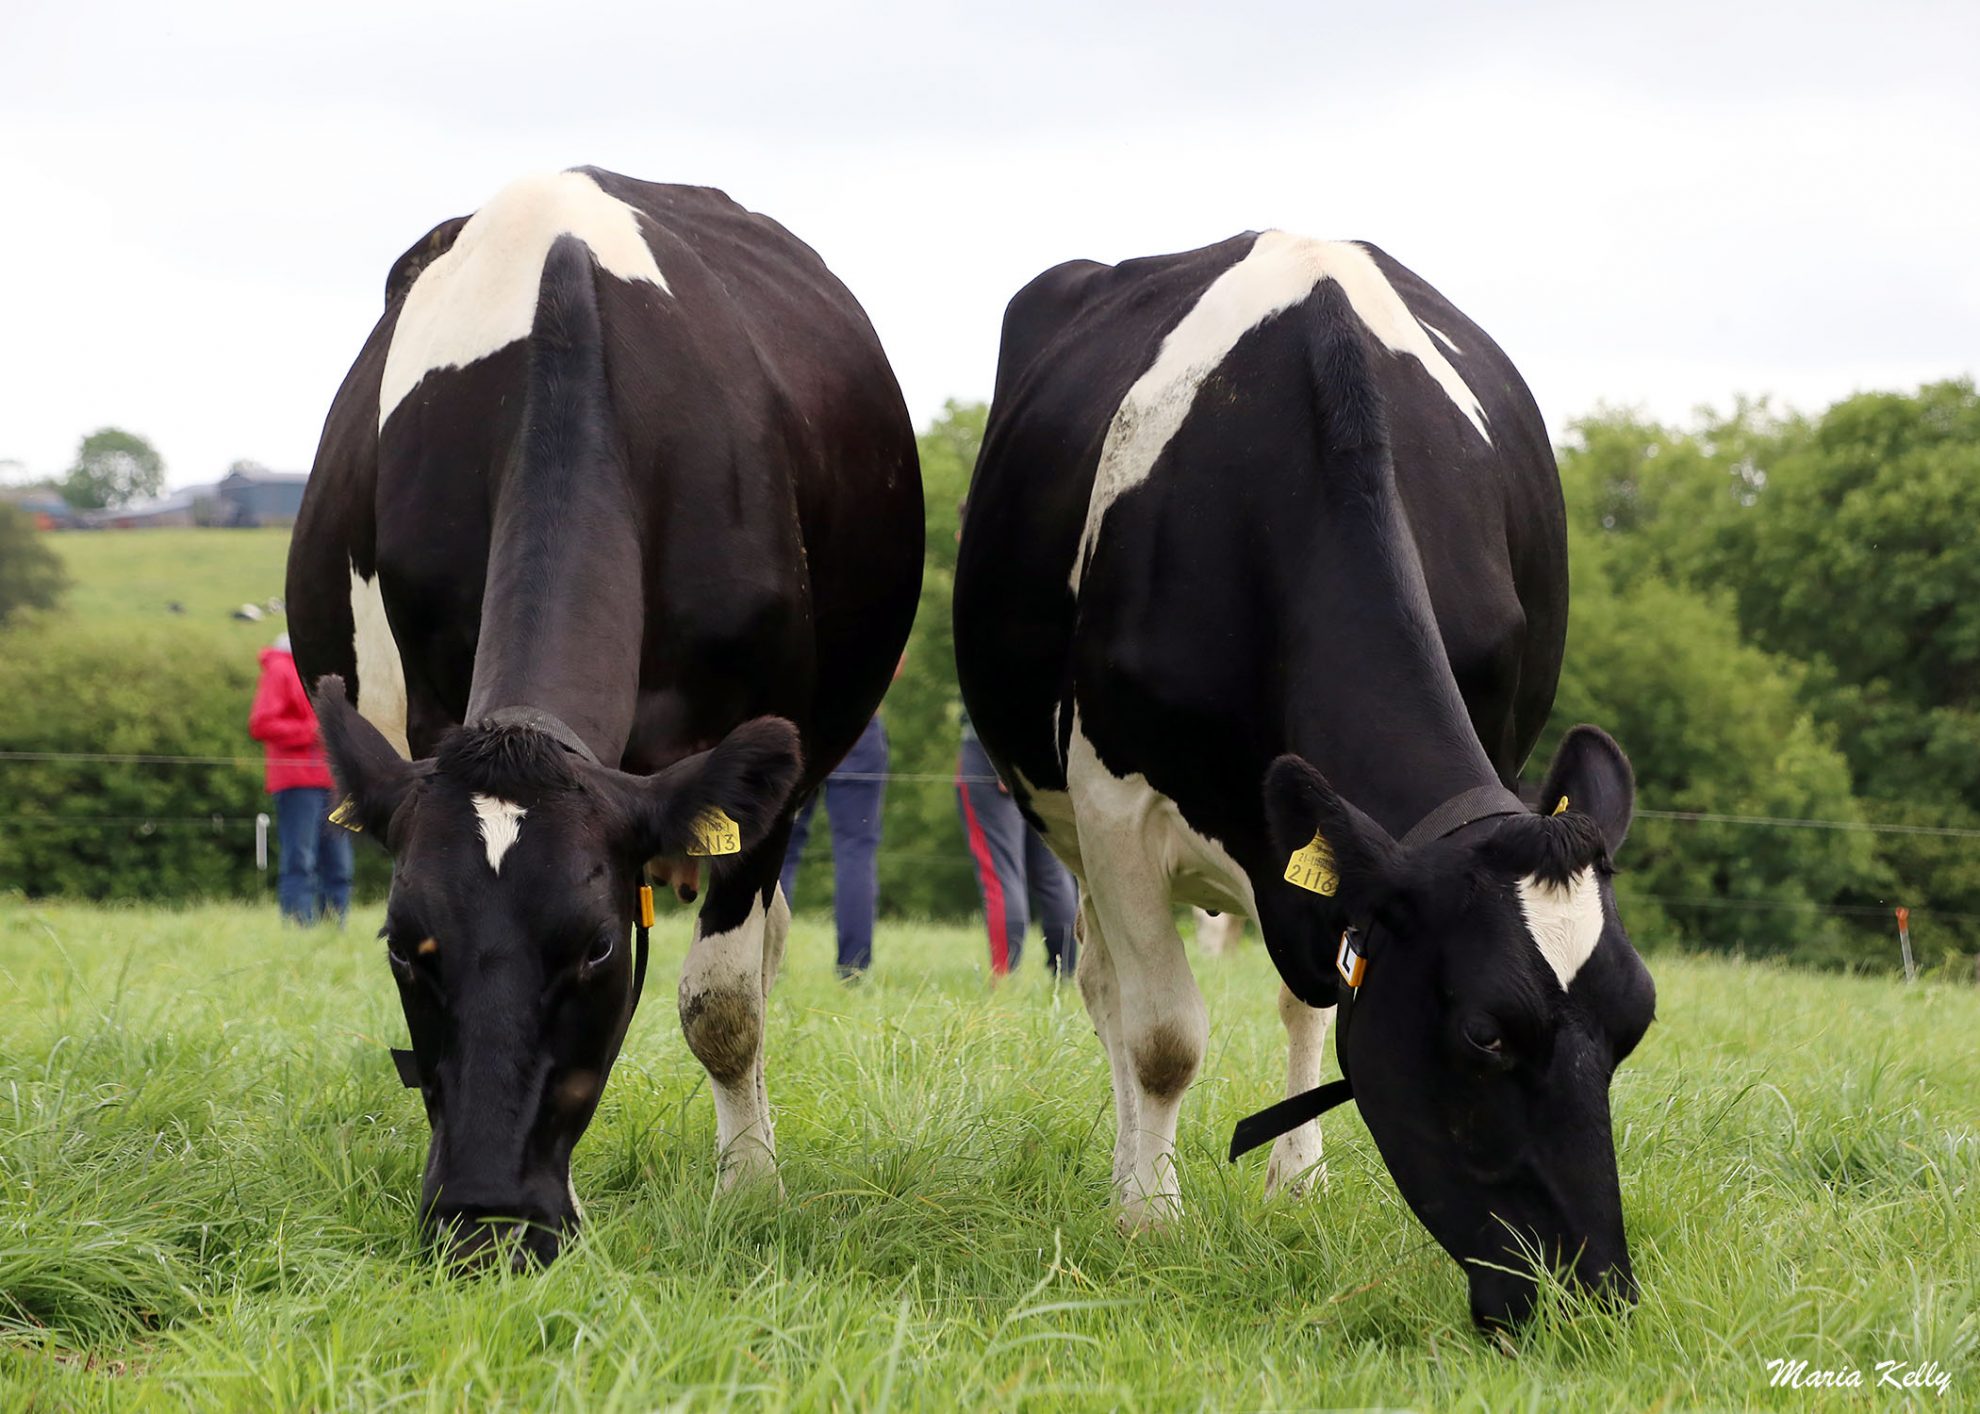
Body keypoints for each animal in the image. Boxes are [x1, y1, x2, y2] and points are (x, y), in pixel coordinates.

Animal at [287, 168, 923, 1268]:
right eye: (405, 946)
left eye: (593, 948)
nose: (489, 1222)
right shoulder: (432, 722)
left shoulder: (760, 764)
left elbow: (723, 1003)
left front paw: (750, 1191)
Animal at [953, 230, 1656, 1328]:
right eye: (1486, 1034)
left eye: (1635, 1023)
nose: (1591, 1294)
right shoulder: (1112, 803)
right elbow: (1162, 1036)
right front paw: (1150, 1216)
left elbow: (1315, 1005)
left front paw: (1295, 1182)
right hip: (1062, 820)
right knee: (1110, 990)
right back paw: (1128, 1170)